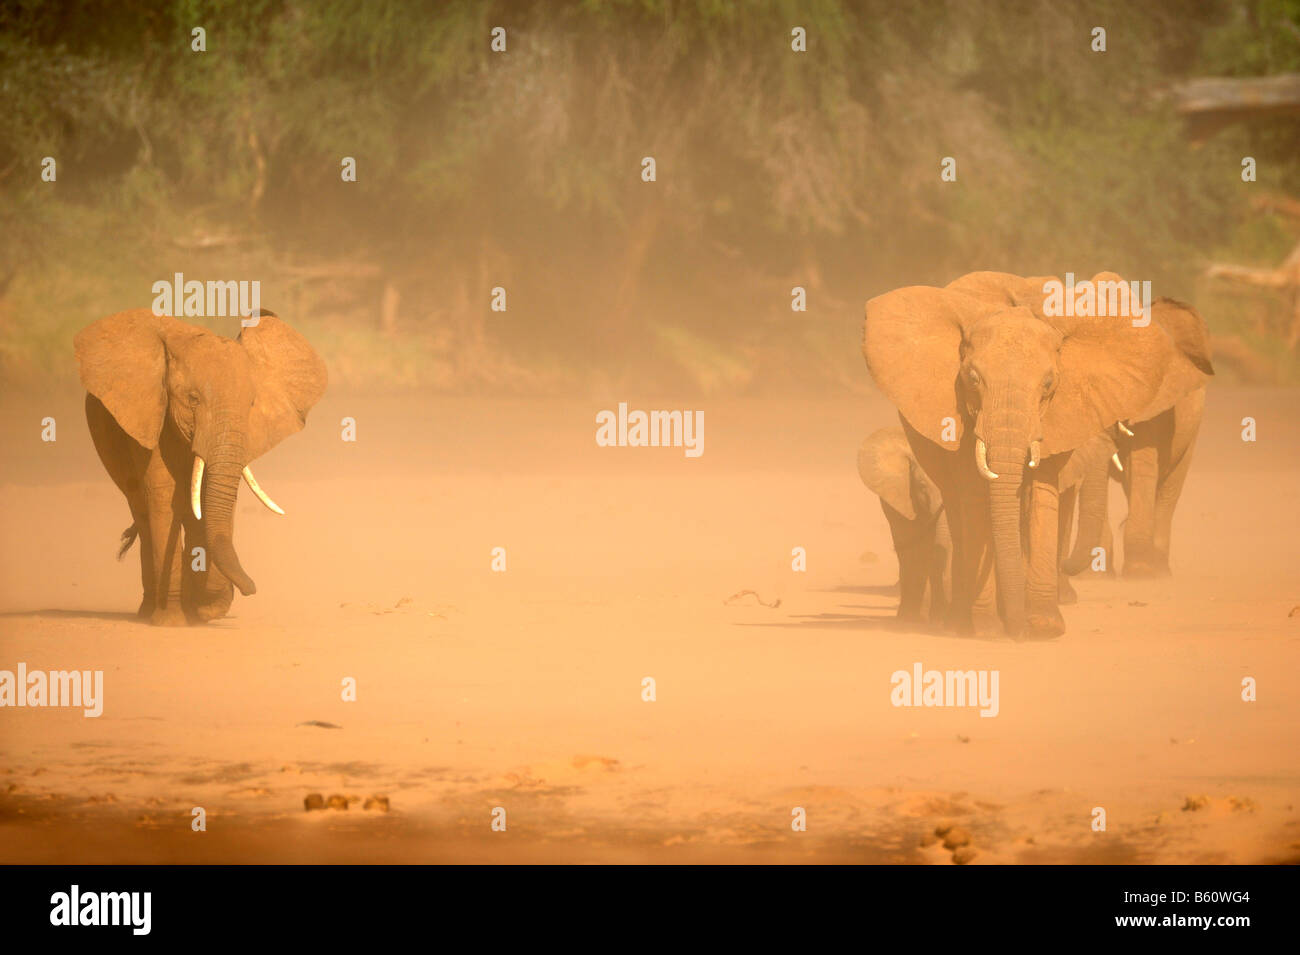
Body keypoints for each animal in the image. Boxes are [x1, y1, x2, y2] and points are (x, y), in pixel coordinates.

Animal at [75, 308, 327, 625]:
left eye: (251, 404)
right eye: (193, 399)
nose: (251, 588)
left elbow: (210, 498)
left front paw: (200, 610)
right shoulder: (151, 413)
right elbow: (164, 495)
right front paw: (172, 621)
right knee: (143, 510)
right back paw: (150, 611)